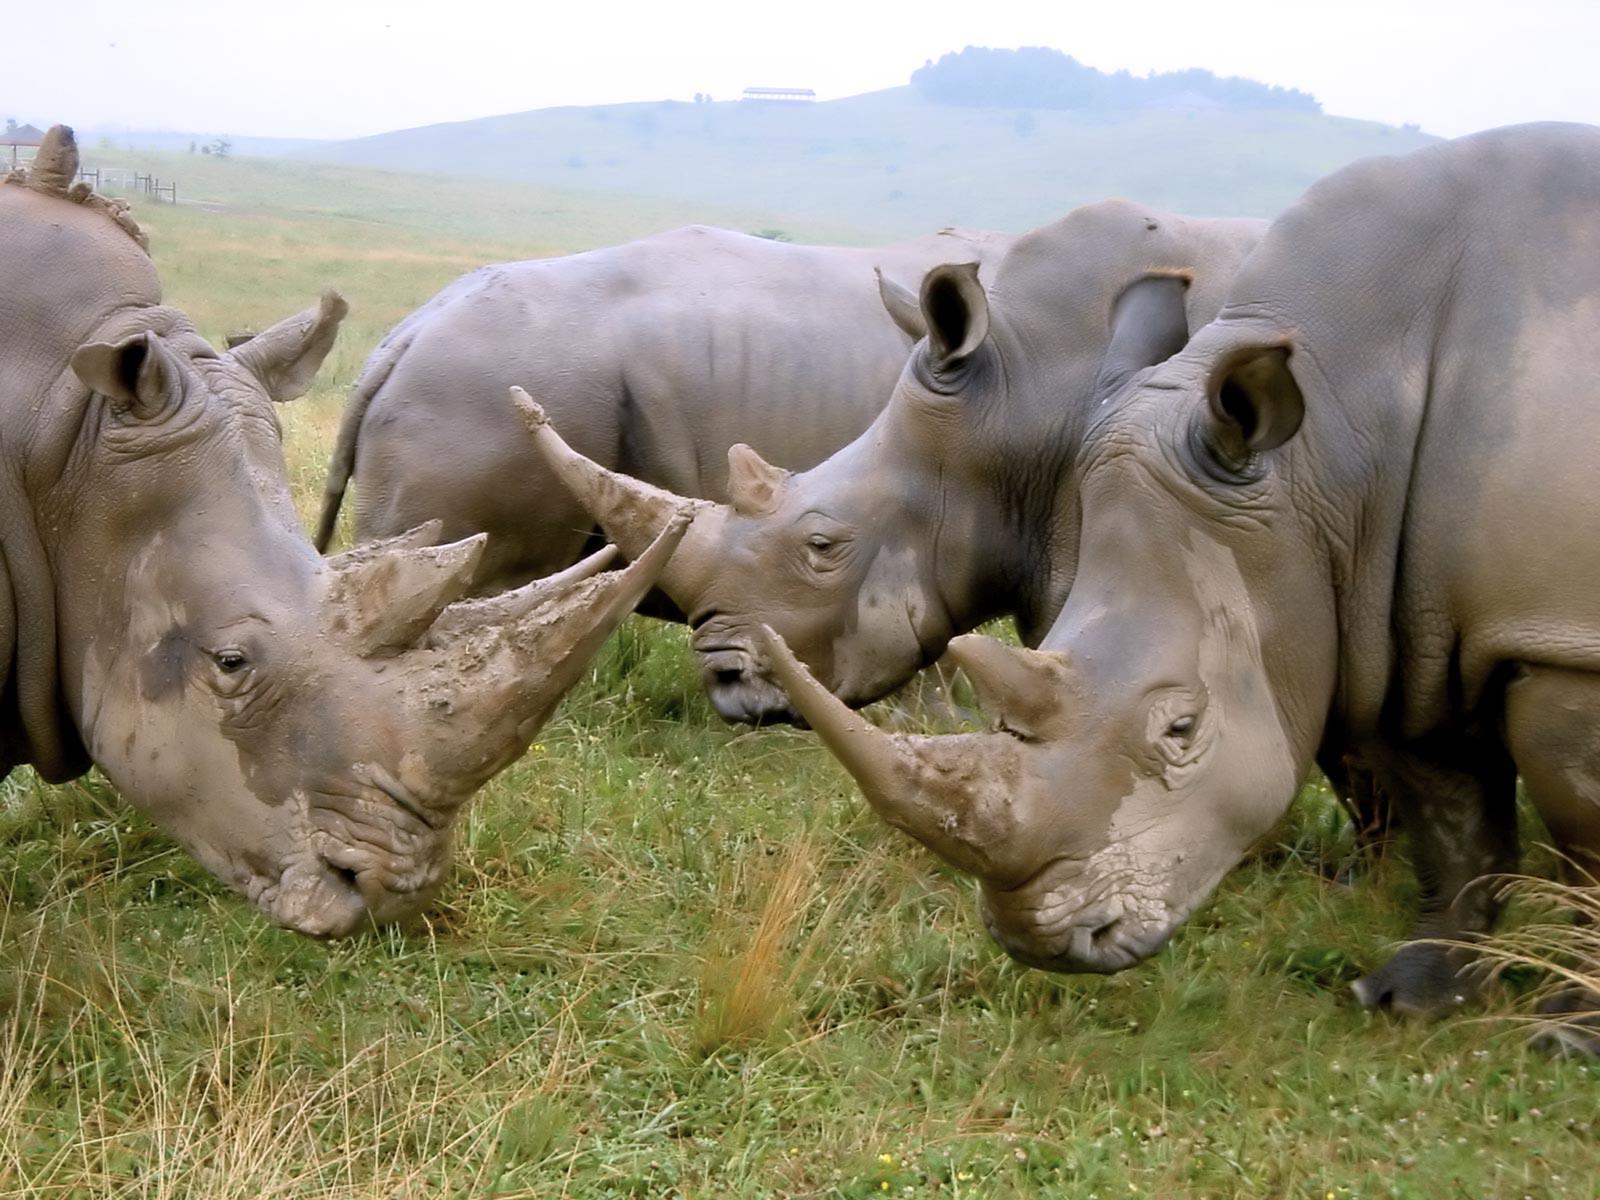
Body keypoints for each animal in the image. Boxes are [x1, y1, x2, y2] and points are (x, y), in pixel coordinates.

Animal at [761, 123, 1600, 1048]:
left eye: (1183, 728)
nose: (1044, 940)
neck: (1332, 452)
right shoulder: (1397, 618)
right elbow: (1452, 816)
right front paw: (1410, 996)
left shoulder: (1560, 639)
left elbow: (1584, 827)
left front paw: (1566, 1035)